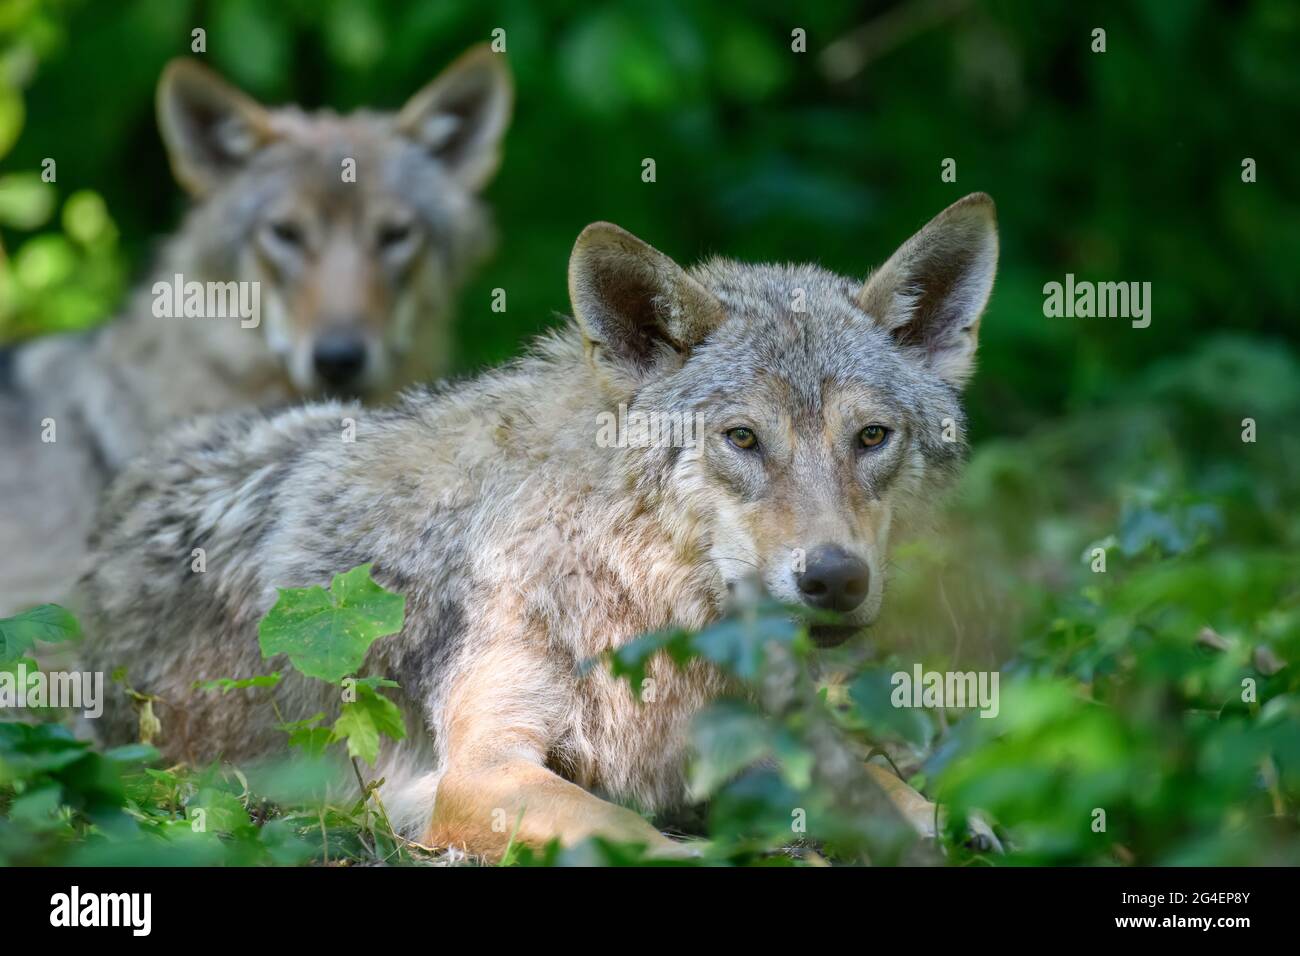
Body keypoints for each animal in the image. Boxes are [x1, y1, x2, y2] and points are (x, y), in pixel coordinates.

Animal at [77, 194, 999, 858]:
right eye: (742, 439)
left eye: (870, 438)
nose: (835, 577)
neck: (632, 599)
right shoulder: (478, 773)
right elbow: (635, 835)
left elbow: (885, 788)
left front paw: (948, 816)